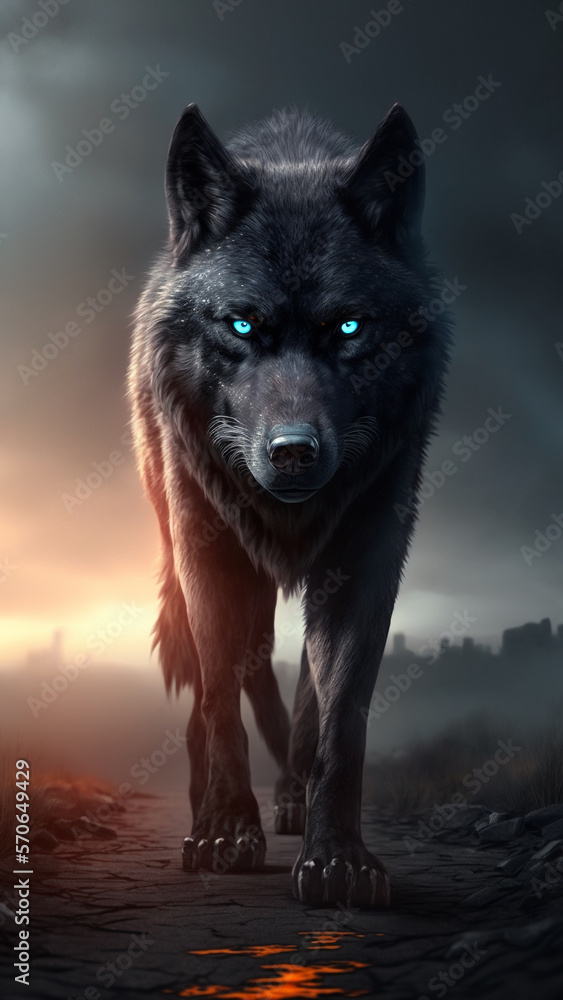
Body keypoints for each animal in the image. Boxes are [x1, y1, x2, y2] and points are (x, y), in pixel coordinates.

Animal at [128, 102, 451, 908]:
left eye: (349, 327)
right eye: (242, 325)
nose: (294, 451)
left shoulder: (368, 556)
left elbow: (341, 714)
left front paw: (338, 859)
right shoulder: (209, 551)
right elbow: (219, 698)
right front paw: (223, 832)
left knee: (300, 683)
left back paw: (293, 798)